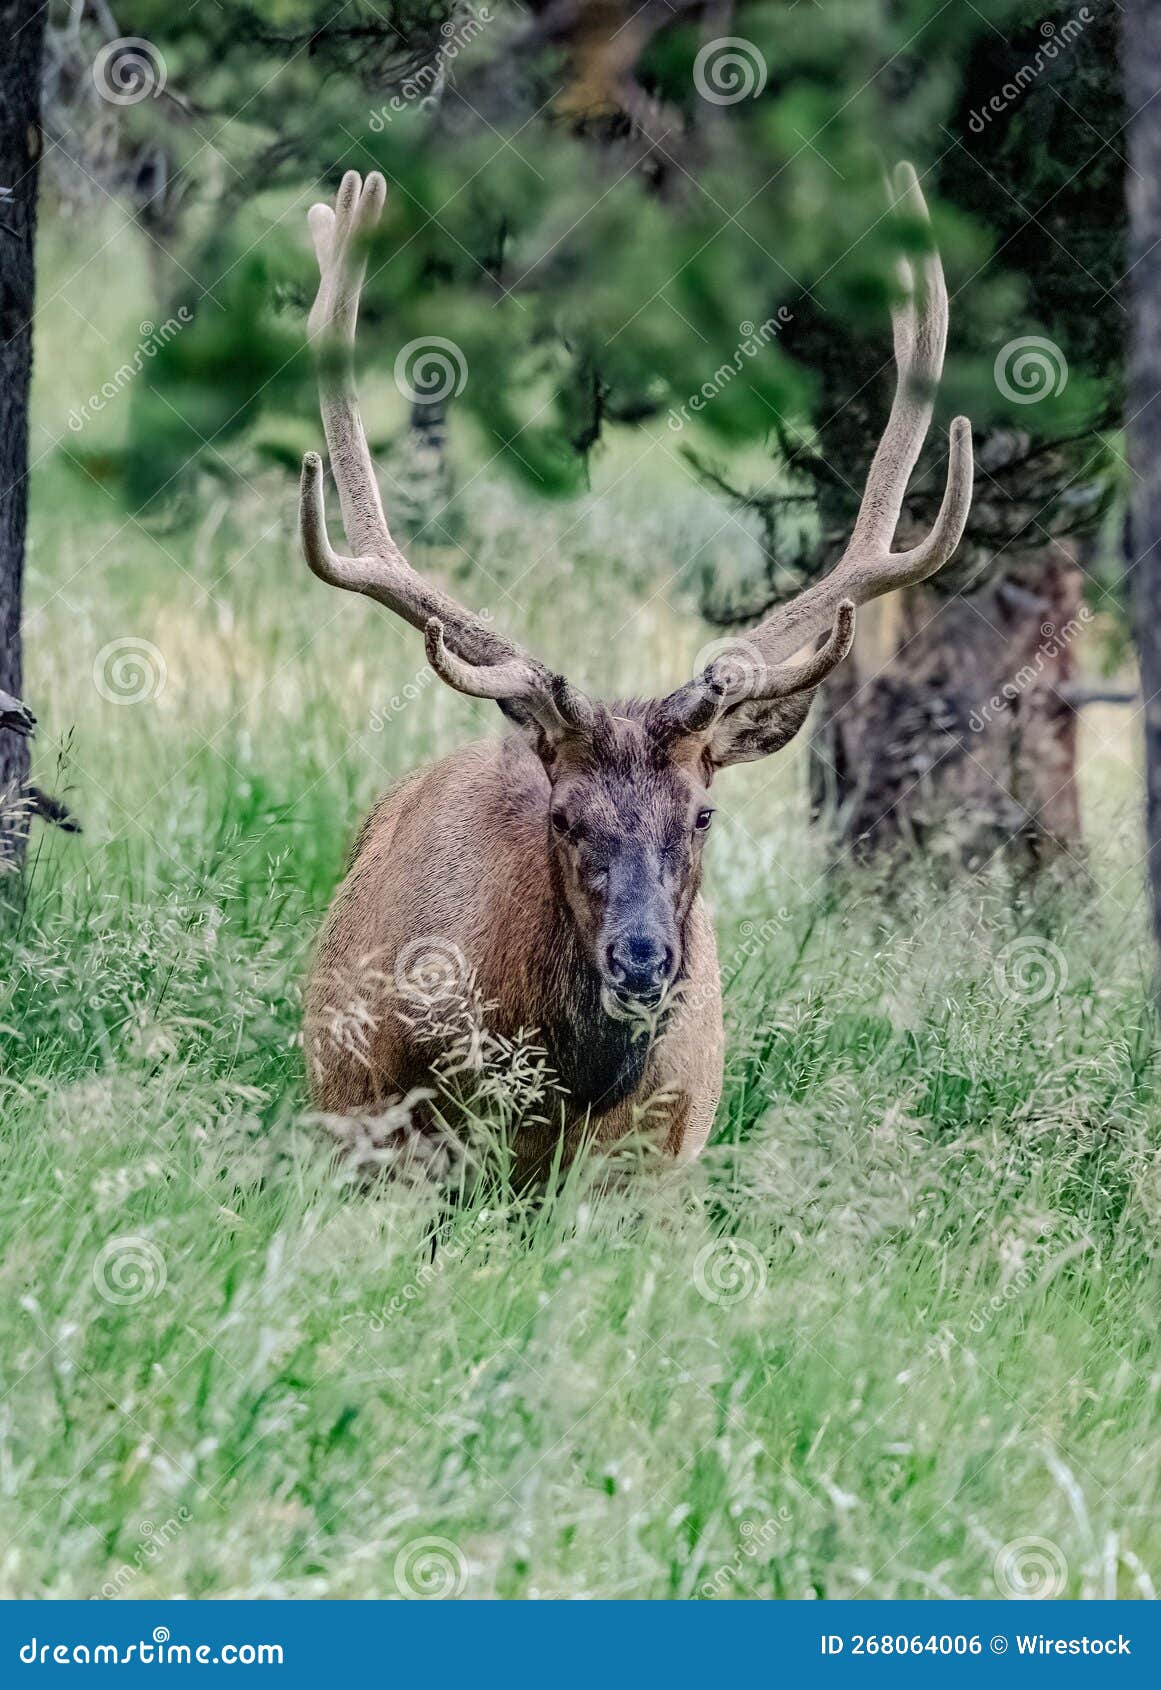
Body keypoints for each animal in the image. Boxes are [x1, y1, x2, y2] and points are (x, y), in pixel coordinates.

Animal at [300, 166, 973, 1183]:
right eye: (564, 817)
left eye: (702, 815)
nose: (644, 962)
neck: (551, 1101)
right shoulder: (384, 1129)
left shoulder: (657, 1161)